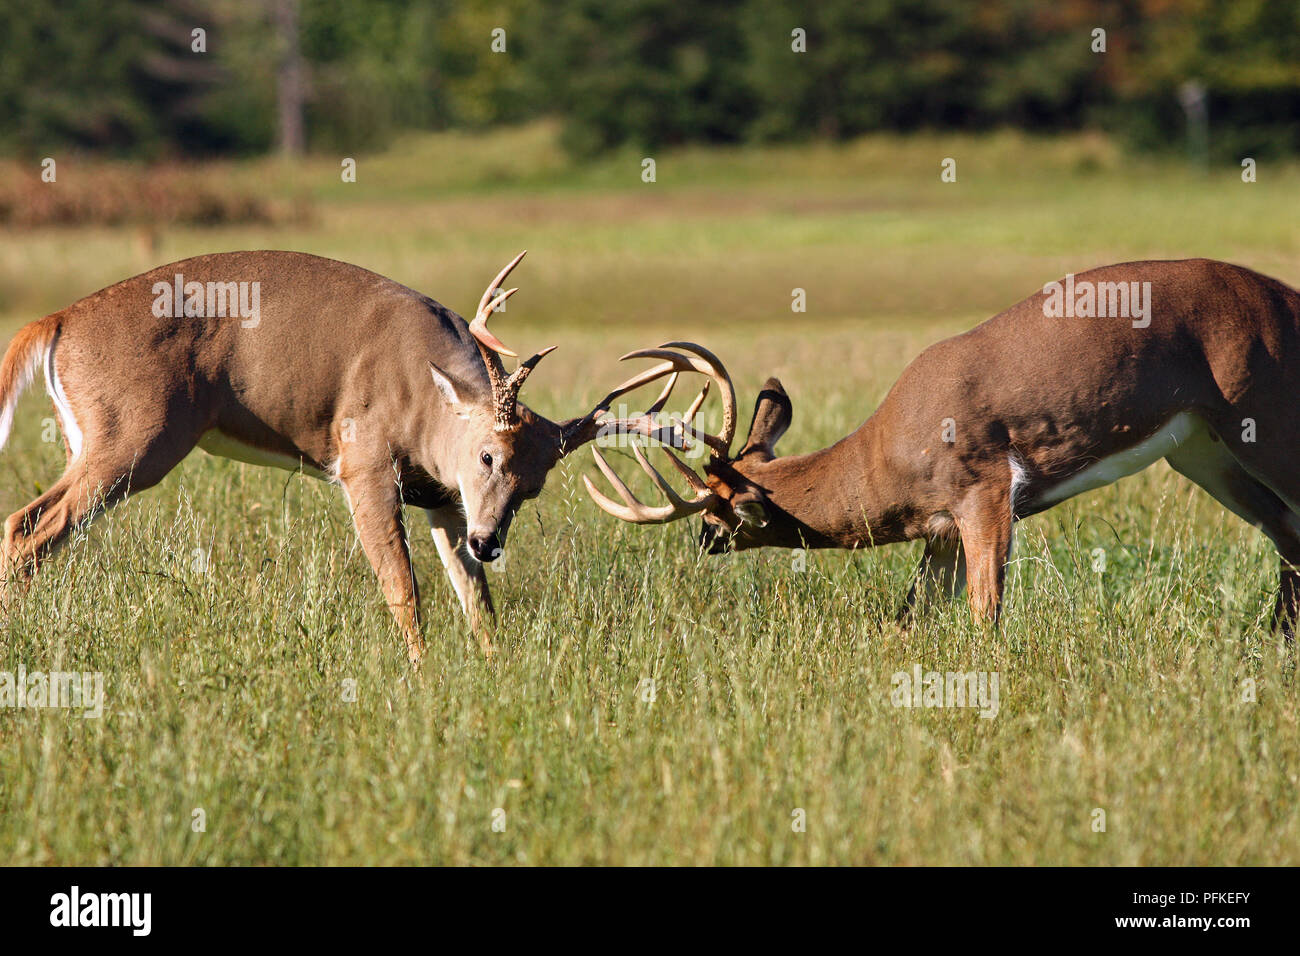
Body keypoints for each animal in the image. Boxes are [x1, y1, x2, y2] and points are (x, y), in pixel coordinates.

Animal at [0, 250, 665, 662]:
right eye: (486, 457)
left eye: (534, 484)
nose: (491, 541)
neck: (426, 398)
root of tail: (57, 320)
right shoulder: (363, 462)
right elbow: (402, 584)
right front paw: (423, 677)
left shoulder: (443, 500)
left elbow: (474, 595)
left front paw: (494, 669)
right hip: (131, 440)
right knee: (28, 525)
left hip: (87, 441)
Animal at [583, 258, 1300, 639]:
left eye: (715, 507)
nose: (702, 540)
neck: (885, 460)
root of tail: (1289, 297)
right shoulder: (942, 529)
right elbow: (910, 615)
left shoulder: (985, 489)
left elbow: (986, 613)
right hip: (1201, 450)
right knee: (1285, 532)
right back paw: (1275, 638)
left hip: (1262, 415)